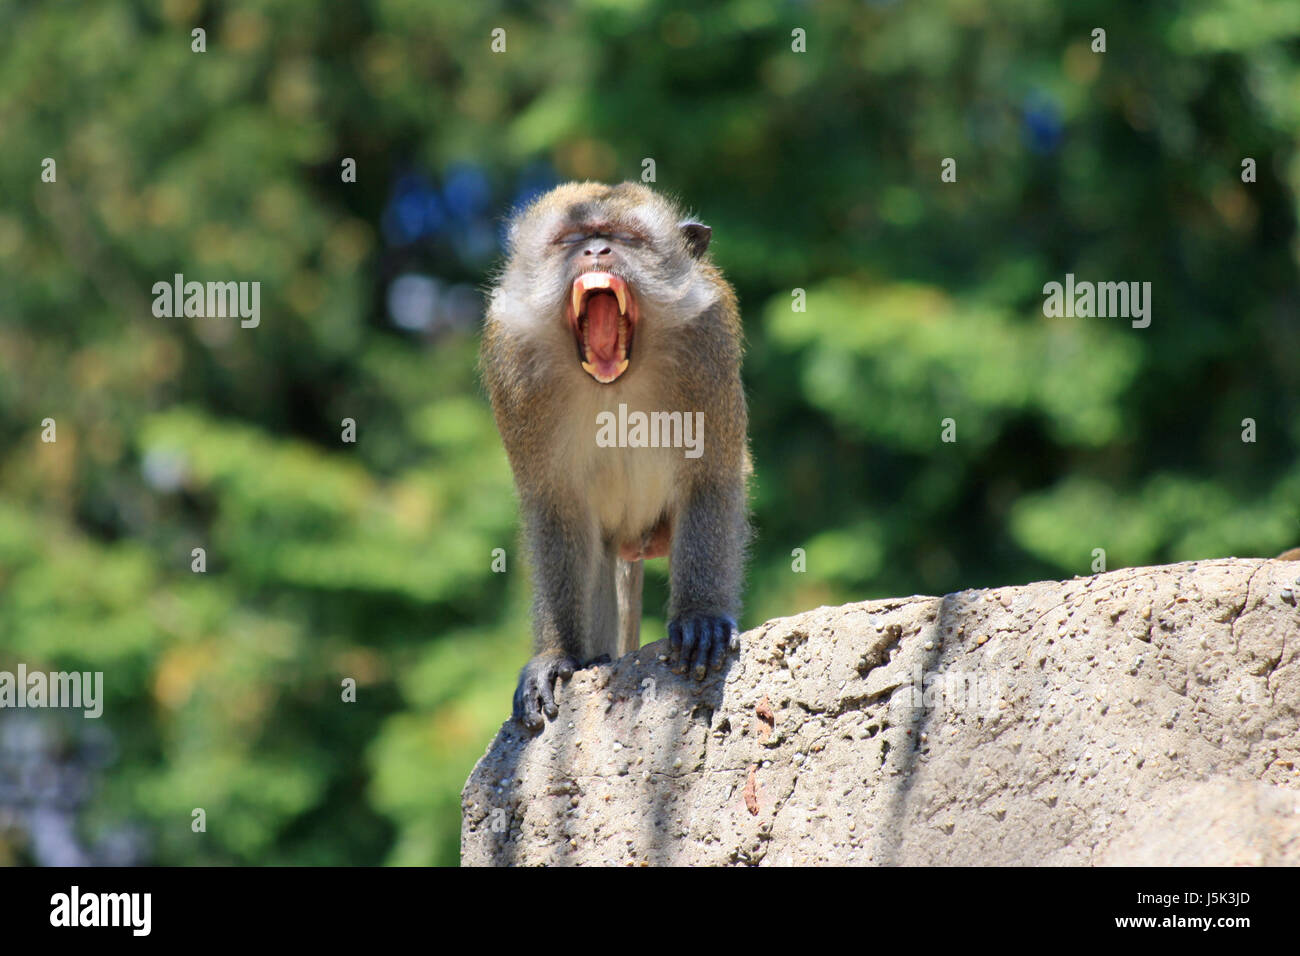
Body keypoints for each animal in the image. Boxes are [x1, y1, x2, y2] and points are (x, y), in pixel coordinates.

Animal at [480, 181, 750, 730]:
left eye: (624, 237)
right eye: (572, 238)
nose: (596, 251)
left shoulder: (706, 343)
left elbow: (711, 478)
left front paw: (700, 617)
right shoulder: (513, 365)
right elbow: (554, 507)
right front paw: (556, 655)